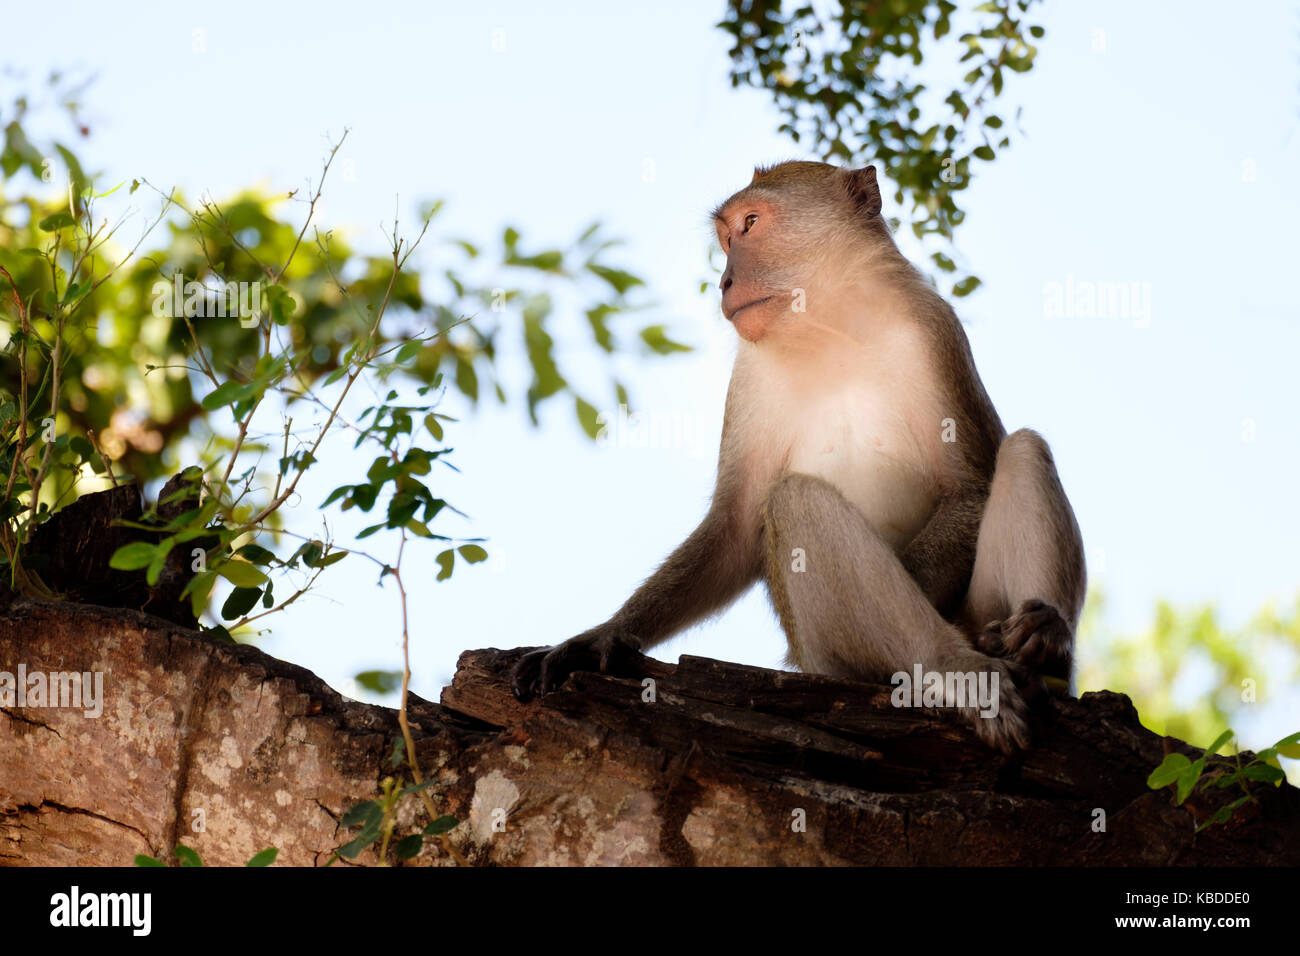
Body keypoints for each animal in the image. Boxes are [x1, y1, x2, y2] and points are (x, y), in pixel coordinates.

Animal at [511, 161, 1085, 753]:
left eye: (750, 224)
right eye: (726, 238)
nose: (725, 281)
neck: (832, 328)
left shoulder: (934, 330)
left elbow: (969, 488)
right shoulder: (750, 375)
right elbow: (736, 526)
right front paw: (602, 635)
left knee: (1023, 450)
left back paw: (1039, 648)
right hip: (830, 661)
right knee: (795, 501)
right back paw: (954, 667)